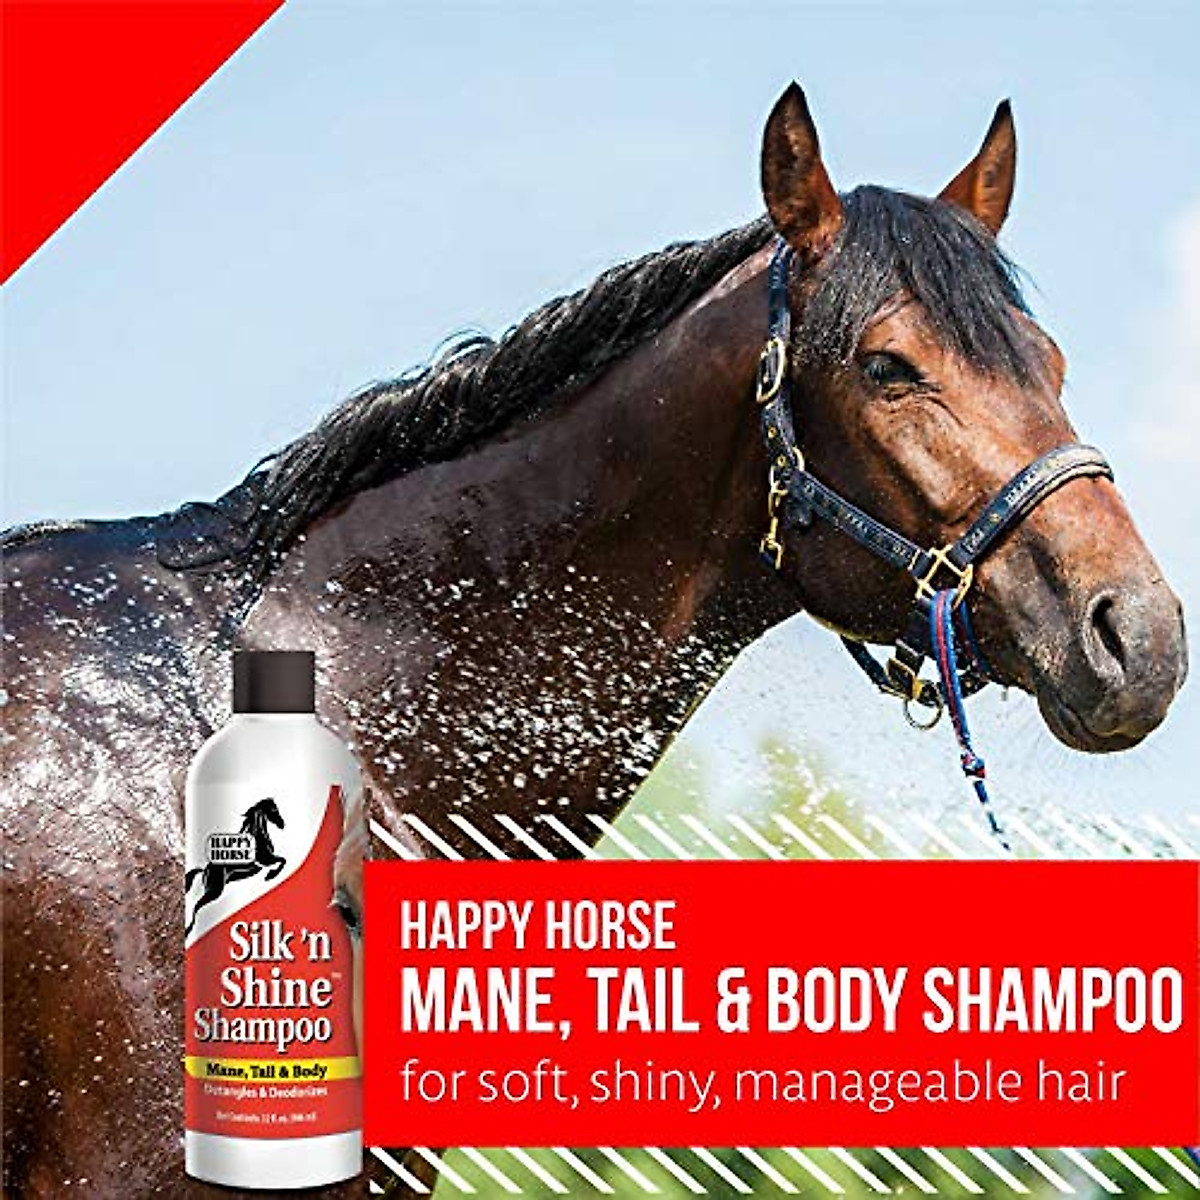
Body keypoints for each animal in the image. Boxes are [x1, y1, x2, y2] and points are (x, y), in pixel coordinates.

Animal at [183, 796, 286, 936]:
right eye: (273, 810)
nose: (282, 824)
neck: (258, 839)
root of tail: (205, 870)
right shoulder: (266, 860)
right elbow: (282, 860)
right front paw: (270, 876)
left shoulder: (267, 861)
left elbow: (282, 860)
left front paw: (270, 875)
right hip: (214, 892)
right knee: (196, 906)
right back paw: (188, 930)